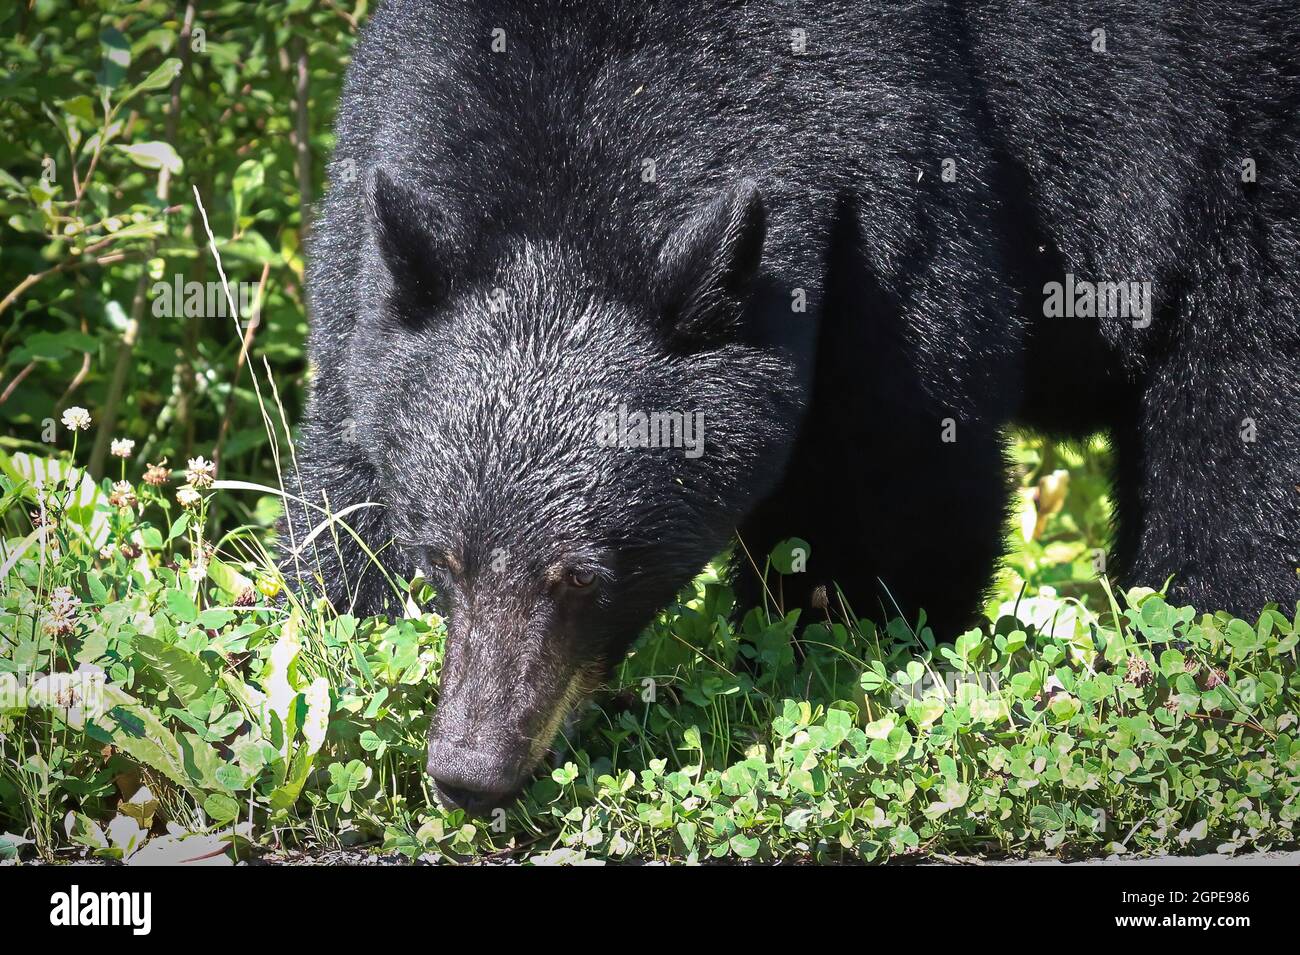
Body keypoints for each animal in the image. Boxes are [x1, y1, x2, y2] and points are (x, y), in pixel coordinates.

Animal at [281, 0, 1300, 813]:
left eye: (584, 577)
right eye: (442, 560)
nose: (469, 772)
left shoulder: (897, 193)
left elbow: (890, 491)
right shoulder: (371, 197)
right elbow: (342, 472)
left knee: (1240, 429)